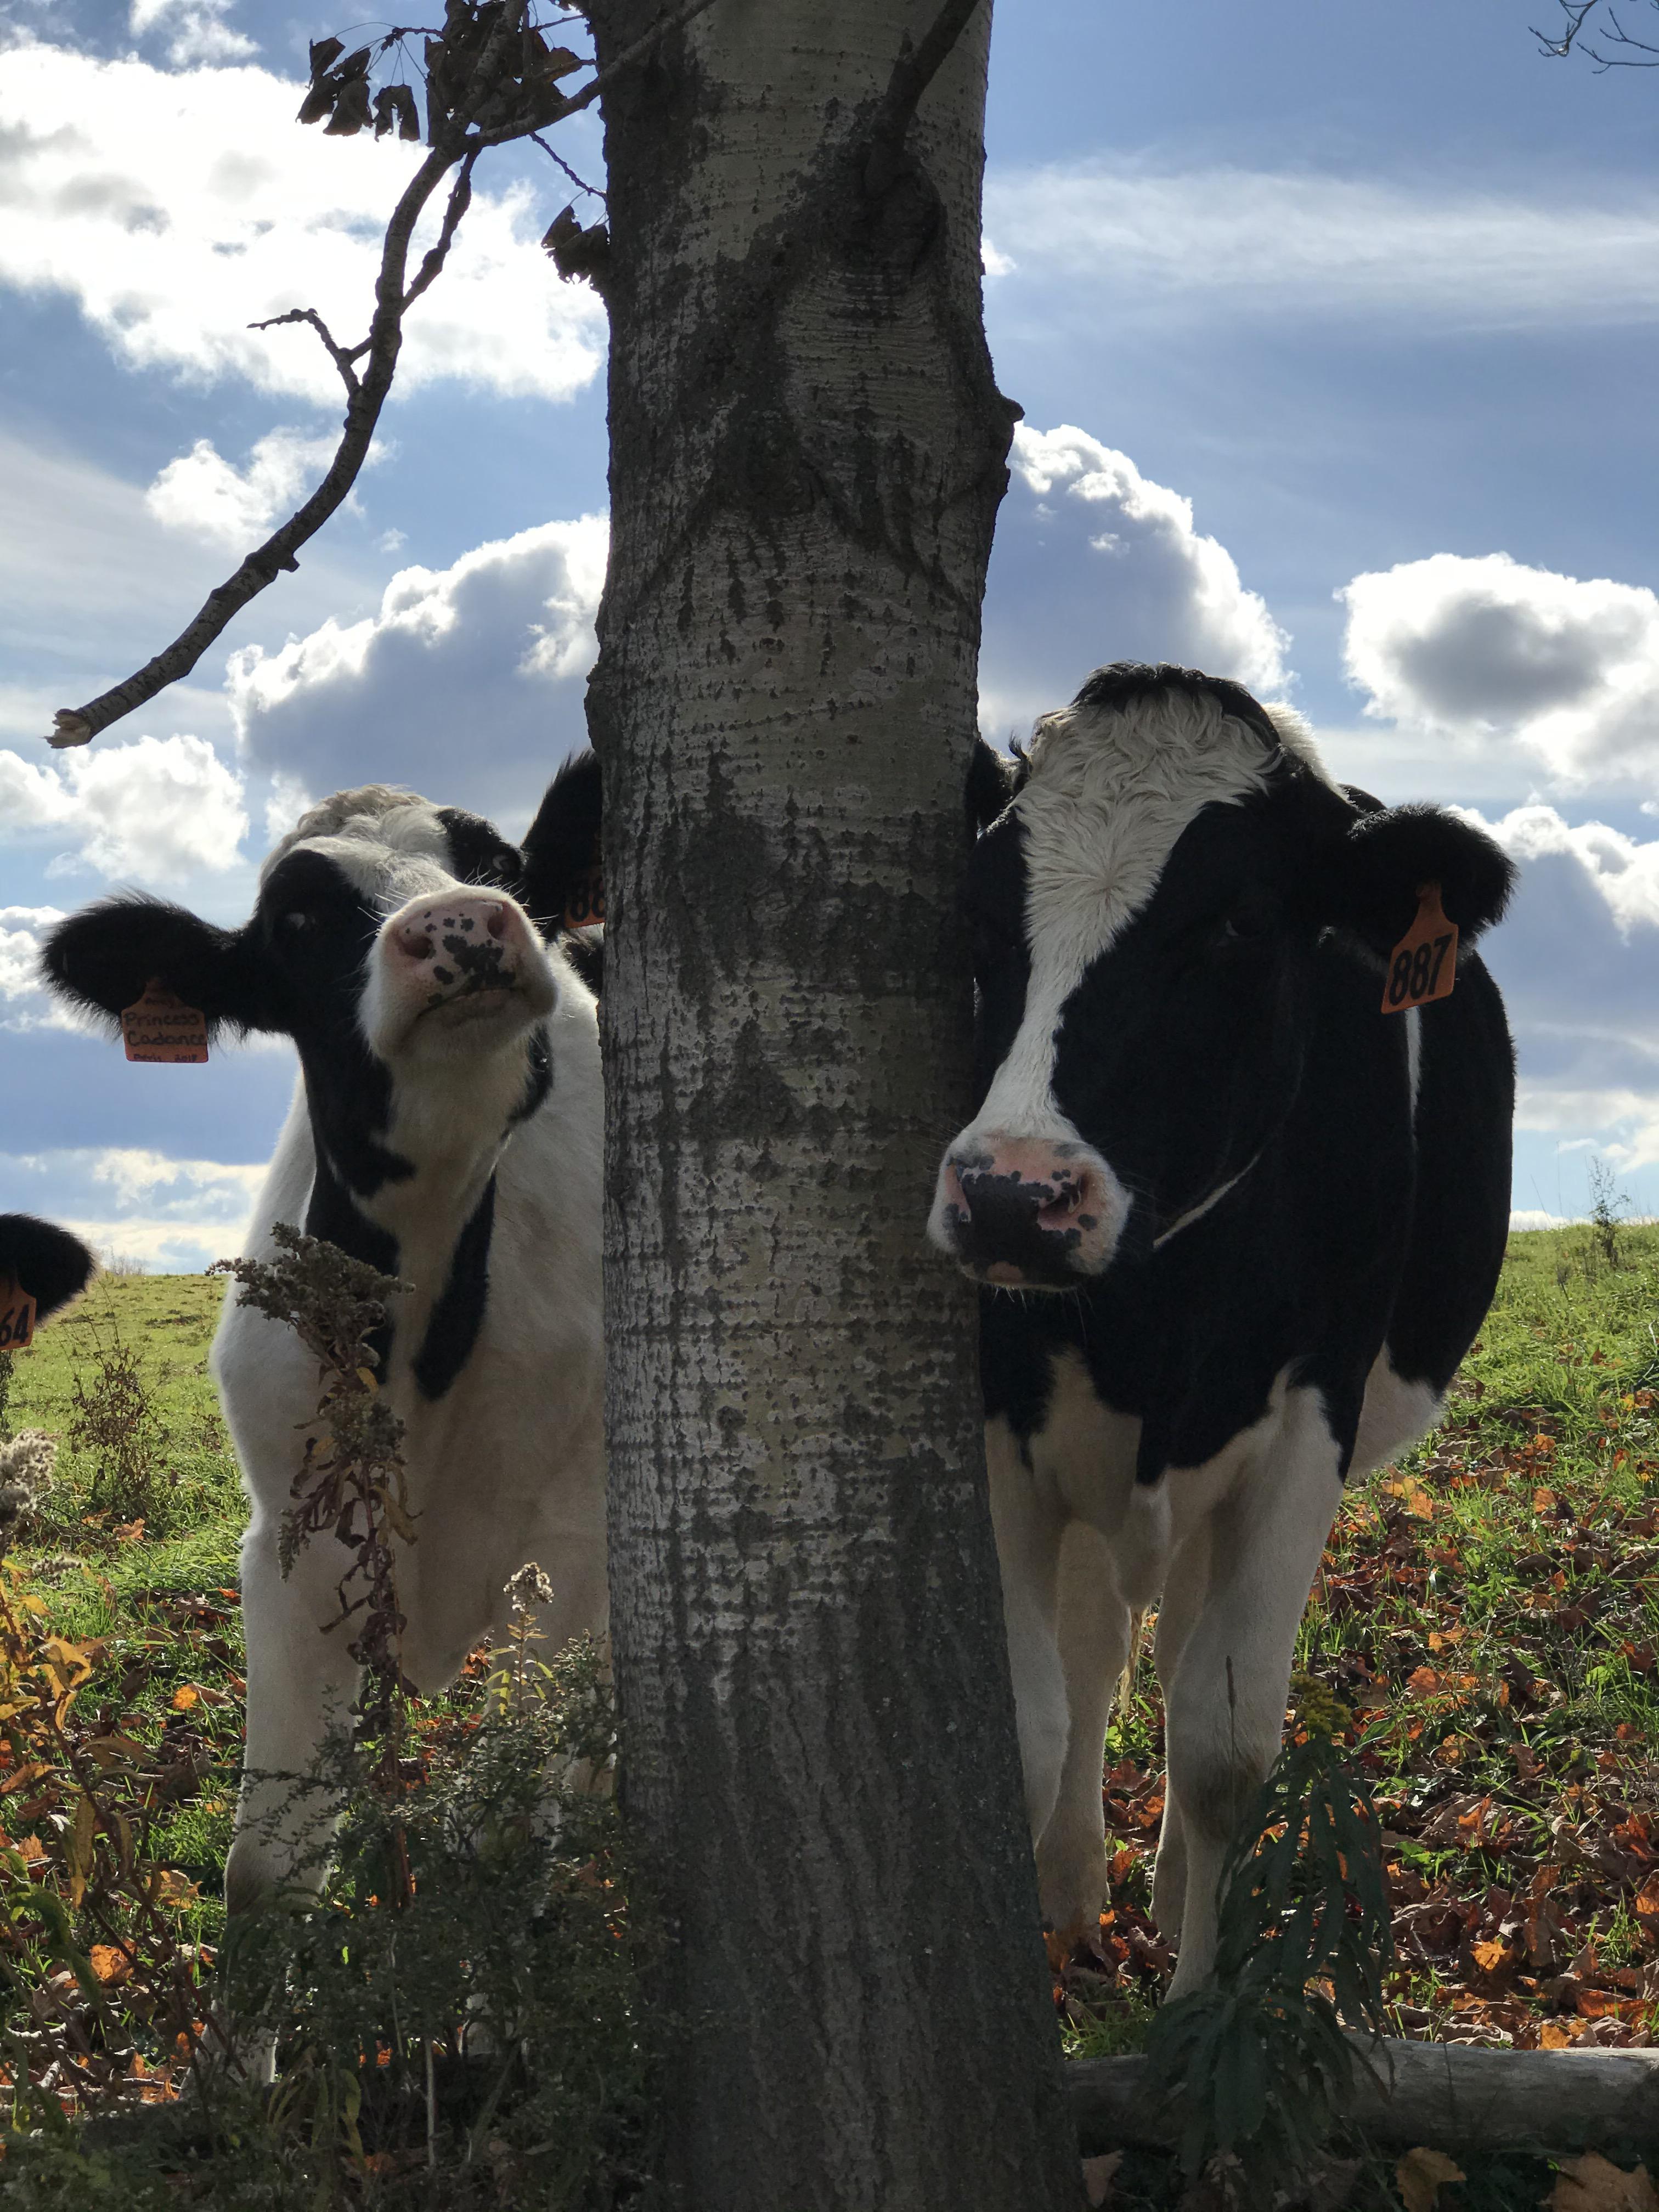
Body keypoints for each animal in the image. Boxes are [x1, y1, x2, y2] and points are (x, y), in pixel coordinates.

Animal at [40, 773, 608, 2027]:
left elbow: (503, 1832)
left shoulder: (570, 1558)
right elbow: (265, 1871)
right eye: (297, 920)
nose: (460, 923)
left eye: (497, 863)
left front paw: (491, 2040)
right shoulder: (291, 1551)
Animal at [930, 663, 1515, 1997]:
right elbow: (1026, 1728)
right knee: (1100, 1652)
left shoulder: (1309, 1416)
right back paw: (1078, 1888)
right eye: (979, 911)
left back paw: (1168, 1890)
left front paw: (1199, 2006)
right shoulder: (996, 1414)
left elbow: (1225, 1745)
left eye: (1241, 922)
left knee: (1182, 1657)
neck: (1156, 1309)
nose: (1012, 1196)